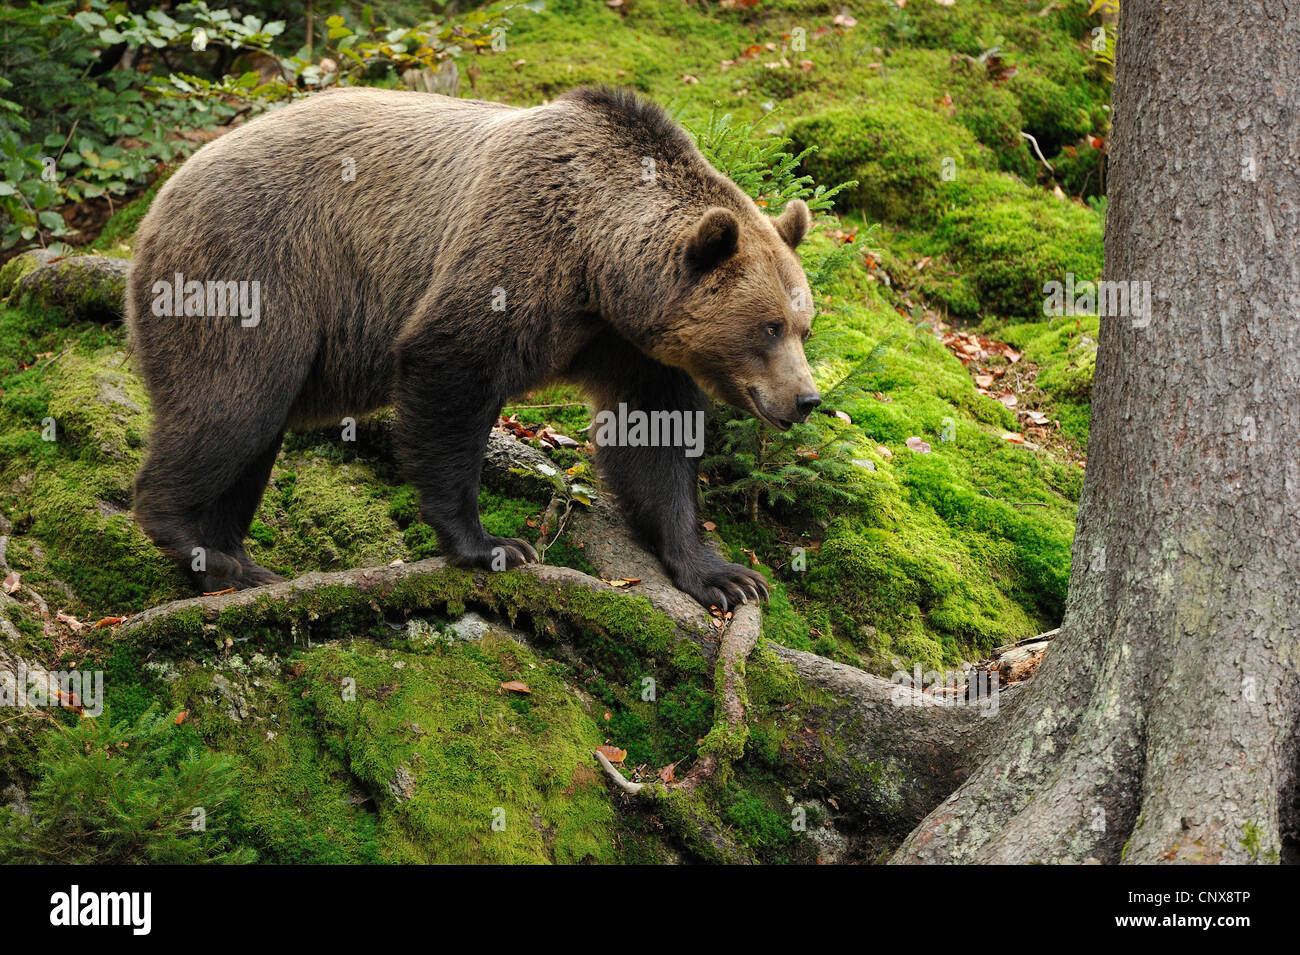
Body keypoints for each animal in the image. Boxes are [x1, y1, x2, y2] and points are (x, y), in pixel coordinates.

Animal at [125, 86, 821, 611]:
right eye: (767, 327)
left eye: (803, 324)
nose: (806, 399)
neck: (597, 266)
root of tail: (161, 196)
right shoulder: (515, 250)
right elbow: (449, 371)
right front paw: (493, 544)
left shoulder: (621, 342)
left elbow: (655, 437)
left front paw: (724, 575)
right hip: (255, 271)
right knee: (233, 403)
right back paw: (194, 541)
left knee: (252, 436)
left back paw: (238, 561)